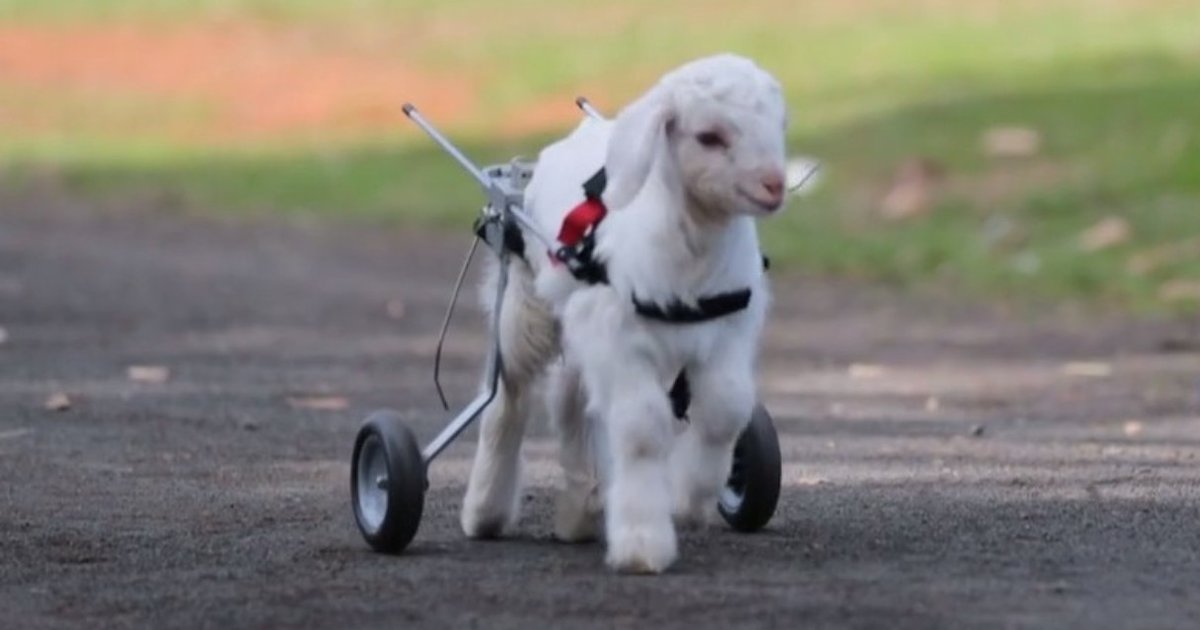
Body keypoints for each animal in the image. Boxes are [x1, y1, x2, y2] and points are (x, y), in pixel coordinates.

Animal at [460, 53, 789, 573]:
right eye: (709, 136)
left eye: (780, 124)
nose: (774, 185)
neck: (691, 256)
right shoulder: (620, 338)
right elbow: (641, 428)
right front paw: (641, 543)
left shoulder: (730, 329)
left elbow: (727, 407)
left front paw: (691, 497)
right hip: (526, 303)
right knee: (508, 399)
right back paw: (485, 512)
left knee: (572, 401)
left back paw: (581, 512)